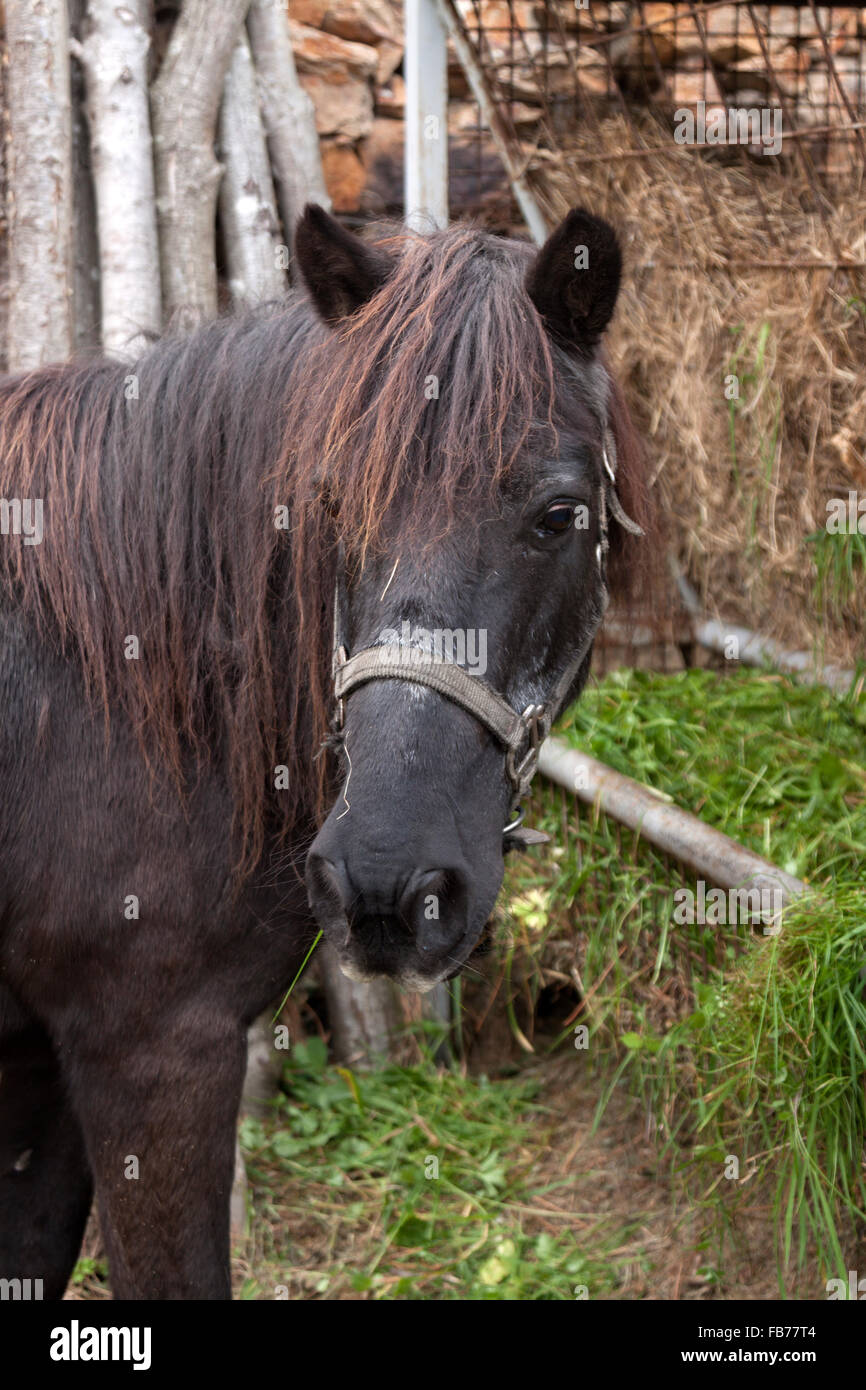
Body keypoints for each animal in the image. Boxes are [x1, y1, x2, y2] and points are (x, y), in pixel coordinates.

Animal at [0, 204, 650, 1299]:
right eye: (333, 503)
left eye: (559, 514)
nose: (386, 881)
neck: (101, 680)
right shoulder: (149, 1047)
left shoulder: (38, 1065)